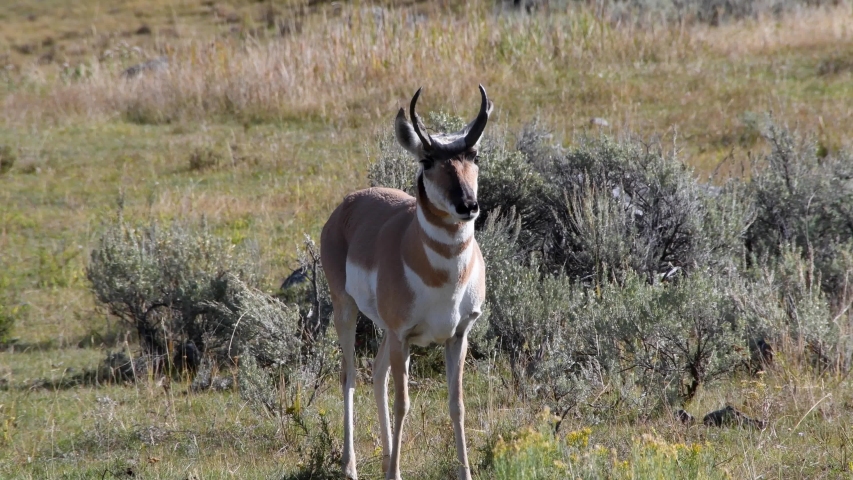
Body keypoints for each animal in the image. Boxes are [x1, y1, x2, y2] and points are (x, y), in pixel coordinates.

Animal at [320, 85, 493, 480]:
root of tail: (350, 202)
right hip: (346, 311)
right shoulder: (404, 336)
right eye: (427, 160)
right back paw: (351, 465)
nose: (467, 205)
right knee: (349, 377)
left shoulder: (457, 336)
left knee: (378, 374)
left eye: (473, 154)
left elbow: (456, 404)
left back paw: (385, 458)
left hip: (386, 332)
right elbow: (404, 404)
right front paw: (395, 474)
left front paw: (465, 472)